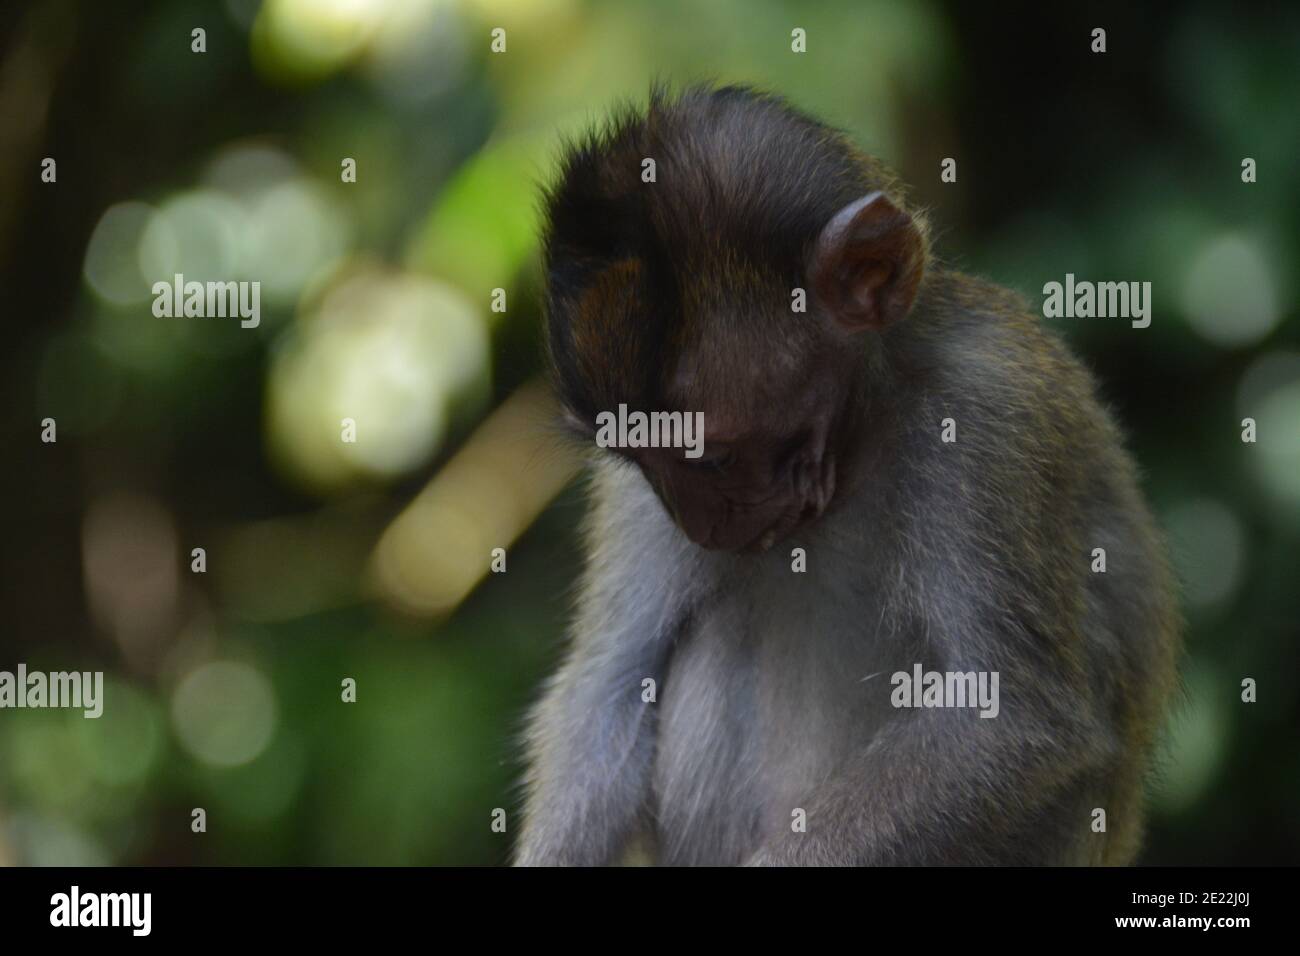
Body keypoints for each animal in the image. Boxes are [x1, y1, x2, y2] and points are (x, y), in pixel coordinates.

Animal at [516, 84, 1180, 866]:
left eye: (709, 456)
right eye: (639, 460)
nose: (698, 523)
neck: (869, 416)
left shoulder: (986, 410)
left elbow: (1008, 716)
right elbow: (608, 687)